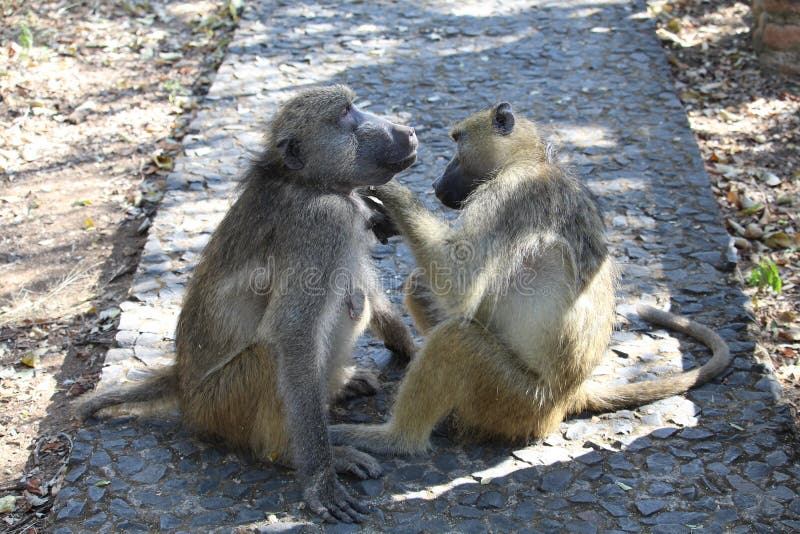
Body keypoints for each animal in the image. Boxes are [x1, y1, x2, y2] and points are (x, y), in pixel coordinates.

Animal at [78, 85, 419, 523]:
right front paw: (319, 479)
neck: (304, 181)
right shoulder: (324, 222)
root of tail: (181, 381)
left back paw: (340, 385)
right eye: (345, 113)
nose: (406, 130)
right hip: (220, 403)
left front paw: (410, 350)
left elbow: (365, 287)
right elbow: (293, 333)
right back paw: (289, 452)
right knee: (289, 343)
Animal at [328, 102, 731, 455]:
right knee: (425, 290)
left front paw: (389, 191)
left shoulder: (509, 196)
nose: (437, 182)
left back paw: (395, 440)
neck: (530, 161)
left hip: (519, 400)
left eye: (457, 142)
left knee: (456, 340)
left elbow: (460, 281)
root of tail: (570, 397)